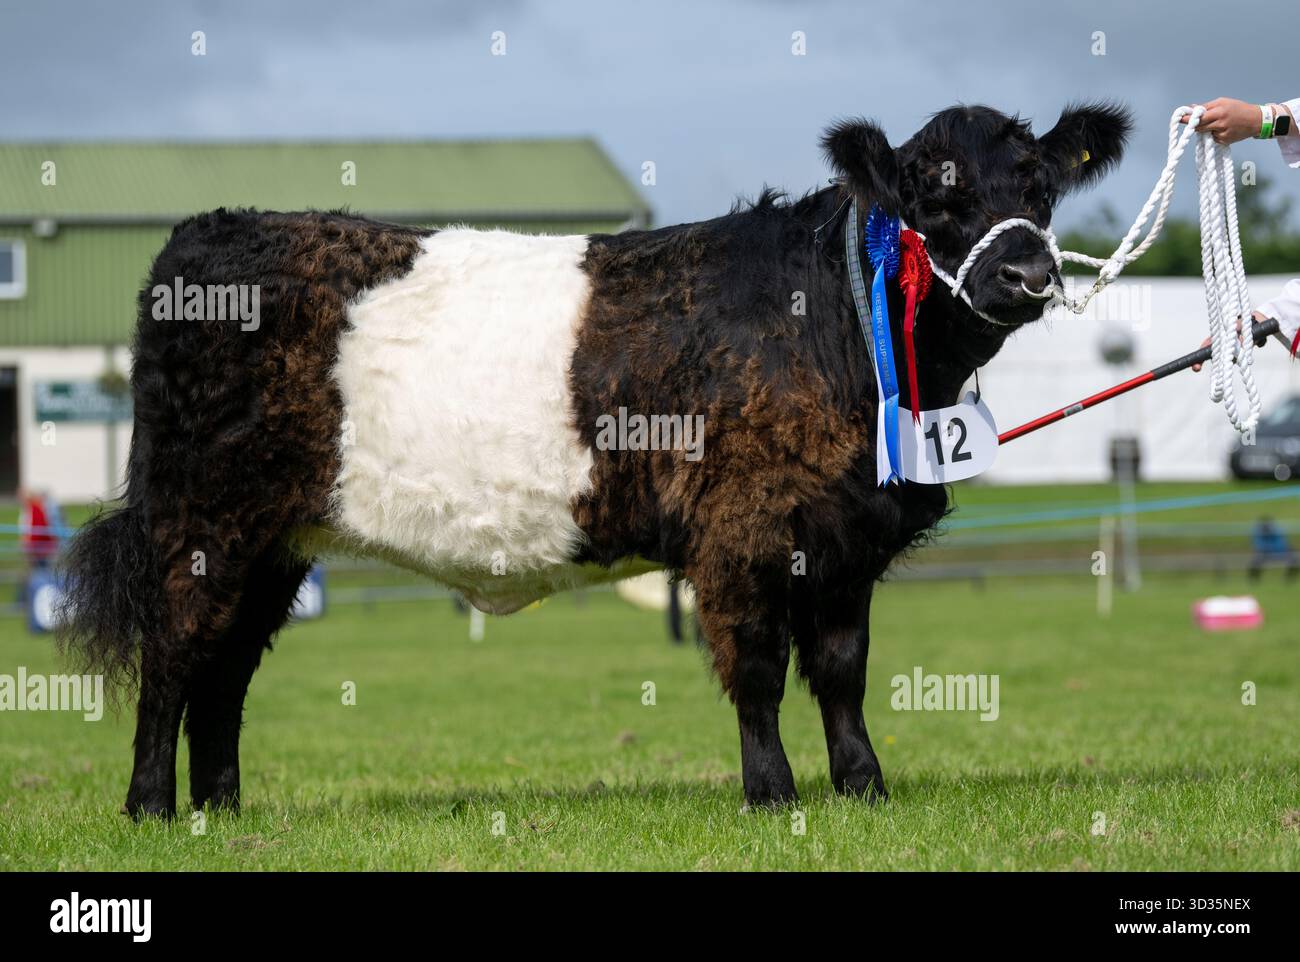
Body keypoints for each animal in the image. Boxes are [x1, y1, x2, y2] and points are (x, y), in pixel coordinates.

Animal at [58, 103, 1131, 817]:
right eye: (931, 194)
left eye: (1040, 189)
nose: (1029, 272)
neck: (833, 317)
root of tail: (210, 231)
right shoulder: (741, 531)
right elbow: (758, 669)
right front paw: (774, 796)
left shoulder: (841, 535)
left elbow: (842, 668)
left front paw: (863, 789)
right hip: (204, 522)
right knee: (175, 656)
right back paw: (152, 808)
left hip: (276, 539)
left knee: (227, 670)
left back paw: (222, 807)